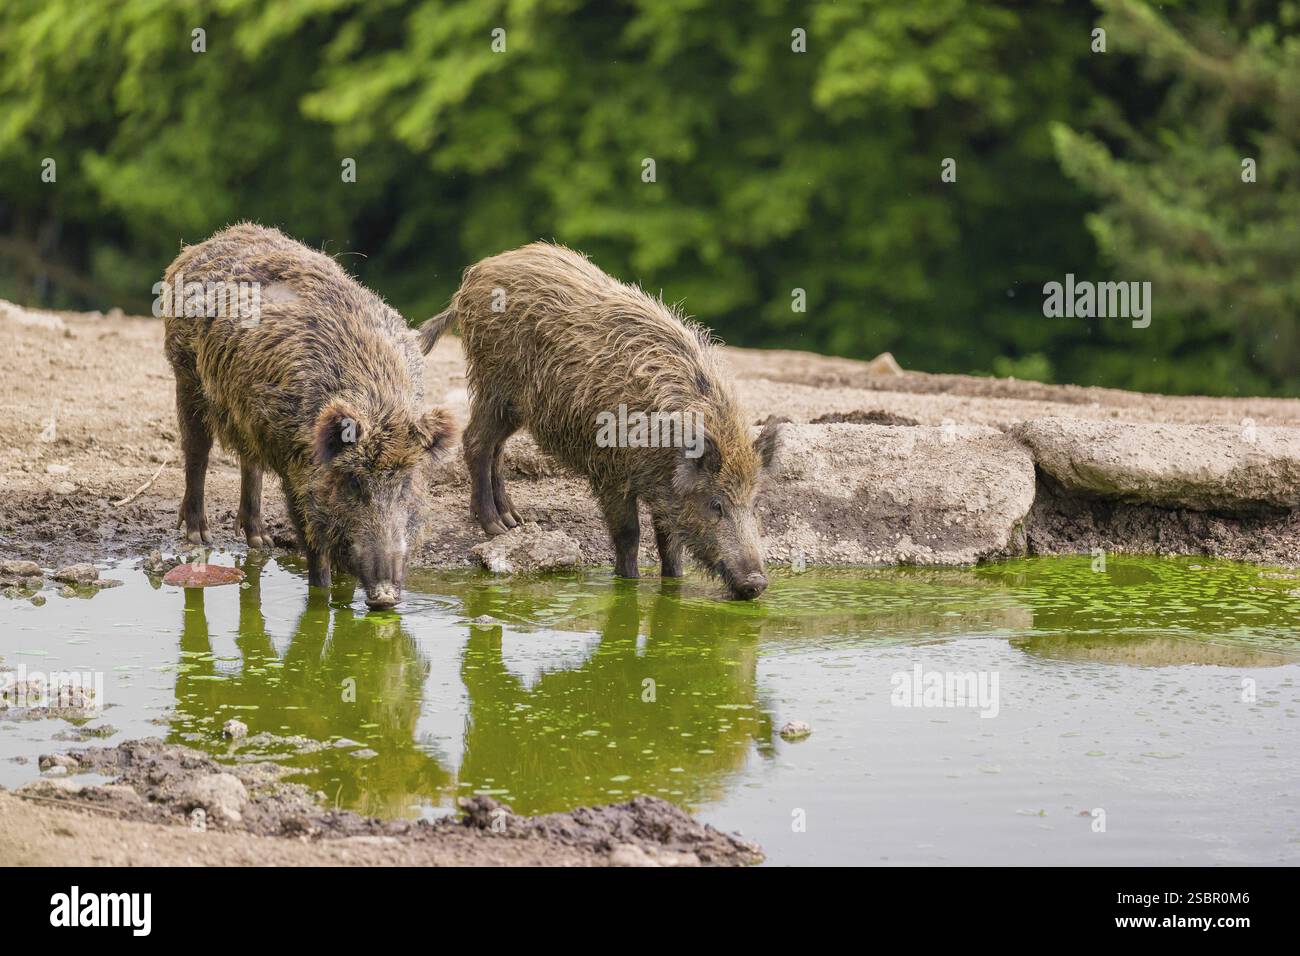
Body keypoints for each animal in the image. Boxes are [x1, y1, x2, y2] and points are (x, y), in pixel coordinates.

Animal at [161, 223, 454, 608]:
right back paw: (199, 537)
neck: (375, 403)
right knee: (197, 451)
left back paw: (261, 541)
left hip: (247, 415)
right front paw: (322, 597)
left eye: (406, 484)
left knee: (250, 461)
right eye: (354, 482)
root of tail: (205, 244)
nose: (385, 594)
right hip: (185, 373)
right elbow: (313, 541)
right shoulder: (296, 467)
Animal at [419, 242, 783, 599]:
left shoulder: (663, 489)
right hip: (494, 383)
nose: (756, 583)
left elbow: (669, 542)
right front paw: (628, 582)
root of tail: (475, 275)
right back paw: (494, 526)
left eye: (754, 504)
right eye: (716, 504)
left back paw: (514, 521)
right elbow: (629, 534)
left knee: (496, 447)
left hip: (515, 406)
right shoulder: (609, 470)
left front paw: (673, 583)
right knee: (476, 441)